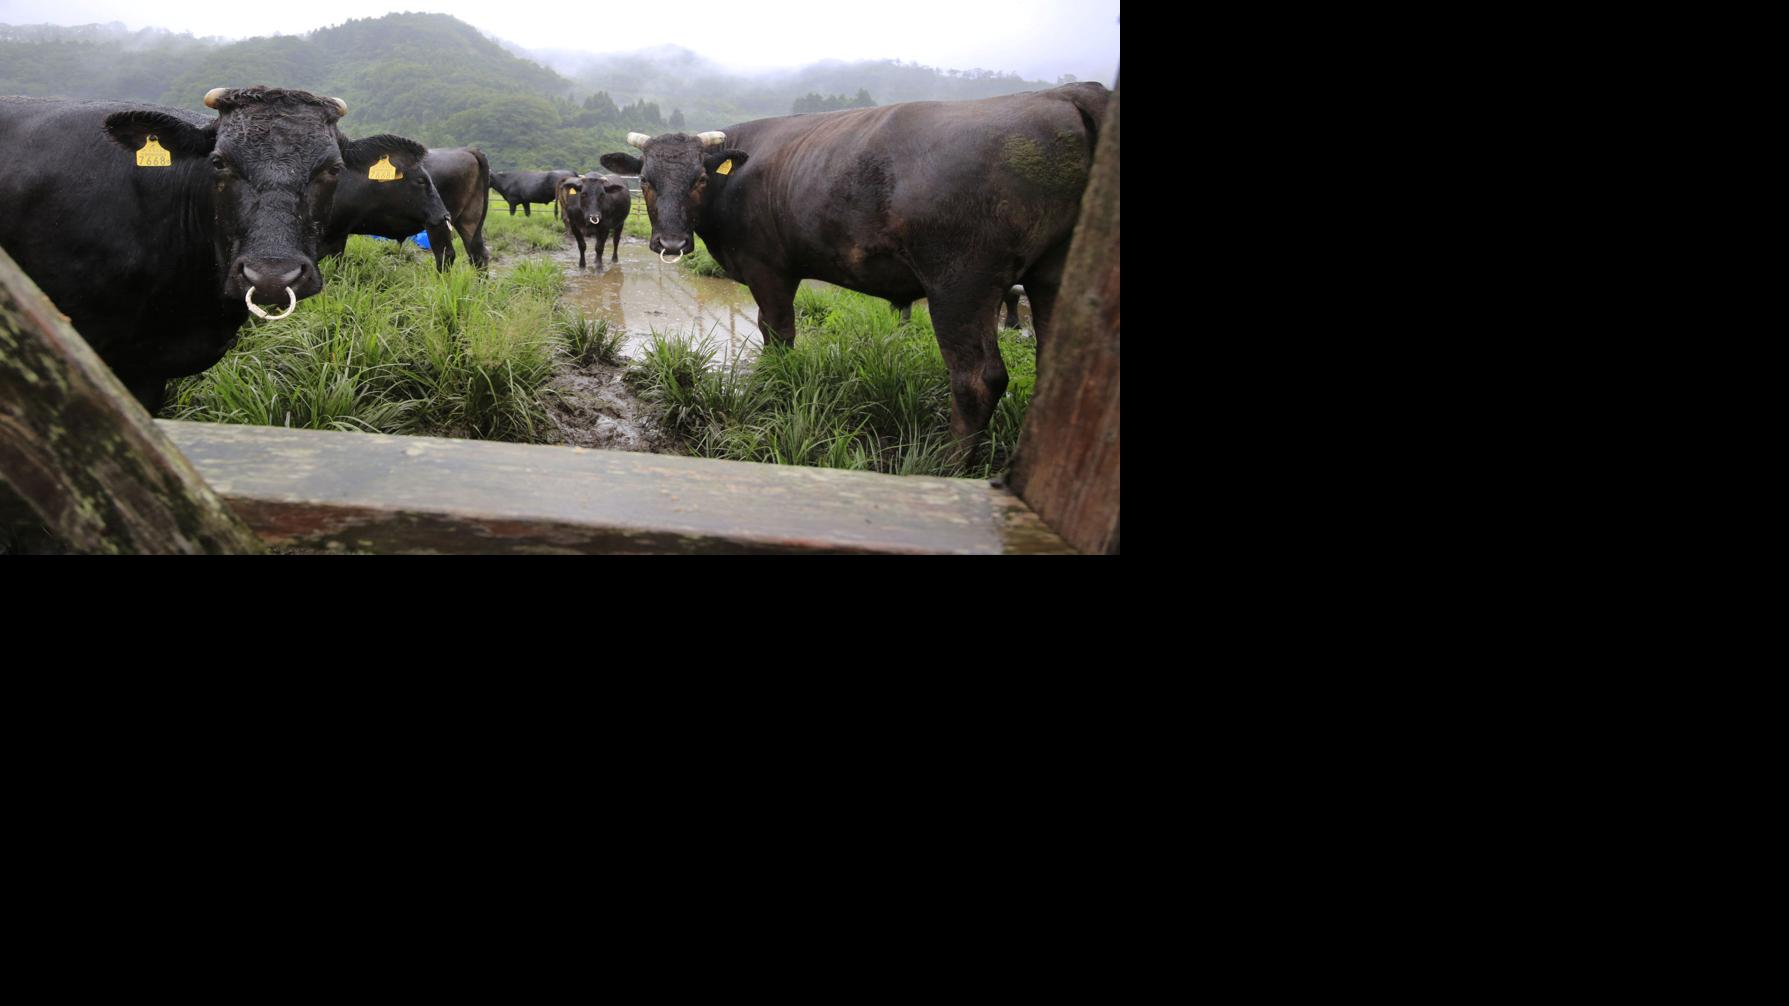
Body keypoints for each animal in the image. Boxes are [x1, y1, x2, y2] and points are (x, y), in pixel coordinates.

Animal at [601, 82, 1109, 445]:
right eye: (647, 180)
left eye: (700, 179)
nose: (670, 242)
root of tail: (1064, 92)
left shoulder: (768, 268)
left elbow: (778, 332)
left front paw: (775, 388)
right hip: (1050, 278)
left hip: (962, 283)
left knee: (977, 381)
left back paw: (947, 464)